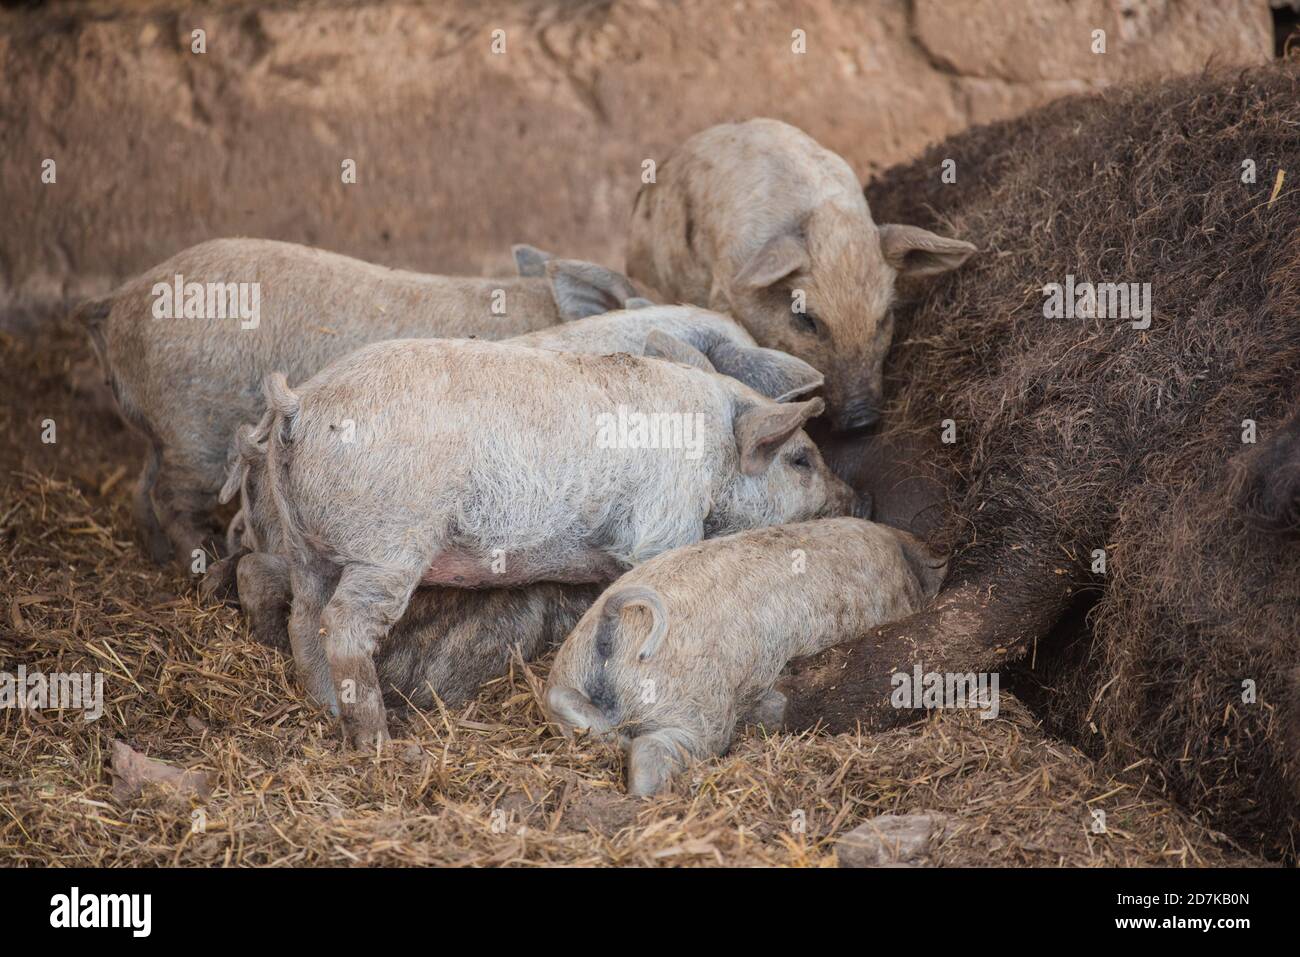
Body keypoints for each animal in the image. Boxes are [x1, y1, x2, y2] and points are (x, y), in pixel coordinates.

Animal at [73, 237, 654, 568]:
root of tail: (120, 300)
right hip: (196, 427)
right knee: (172, 498)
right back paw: (205, 565)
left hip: (163, 428)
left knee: (143, 488)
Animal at [260, 337, 859, 746]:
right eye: (801, 460)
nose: (856, 499)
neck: (715, 454)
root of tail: (300, 405)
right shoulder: (664, 519)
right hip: (389, 539)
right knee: (343, 625)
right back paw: (378, 741)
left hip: (301, 538)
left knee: (303, 618)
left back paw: (326, 710)